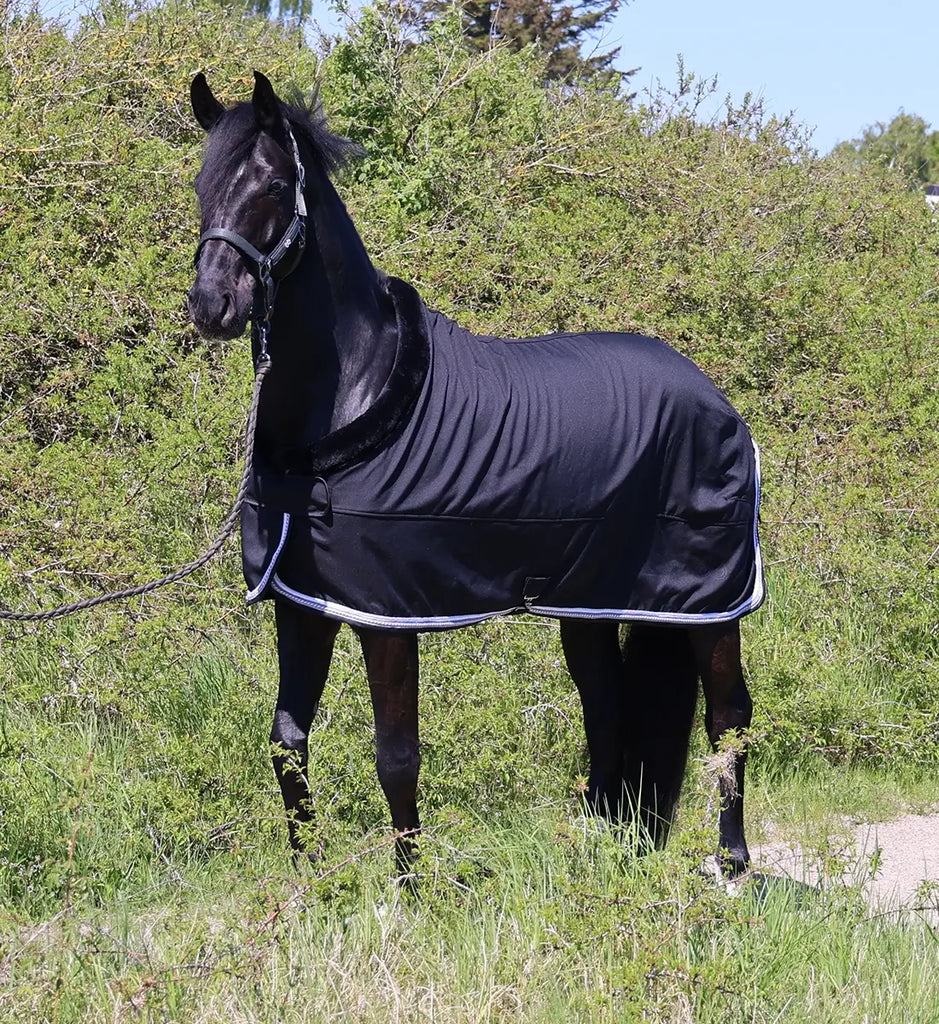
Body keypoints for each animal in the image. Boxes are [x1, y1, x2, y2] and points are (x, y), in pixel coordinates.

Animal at [186, 72, 763, 879]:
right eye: (203, 184)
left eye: (272, 185)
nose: (212, 306)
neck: (350, 397)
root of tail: (716, 398)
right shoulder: (301, 602)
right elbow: (286, 740)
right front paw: (309, 877)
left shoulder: (388, 616)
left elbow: (396, 756)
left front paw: (412, 887)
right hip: (592, 600)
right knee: (608, 701)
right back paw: (601, 837)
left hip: (709, 602)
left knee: (728, 713)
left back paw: (731, 861)